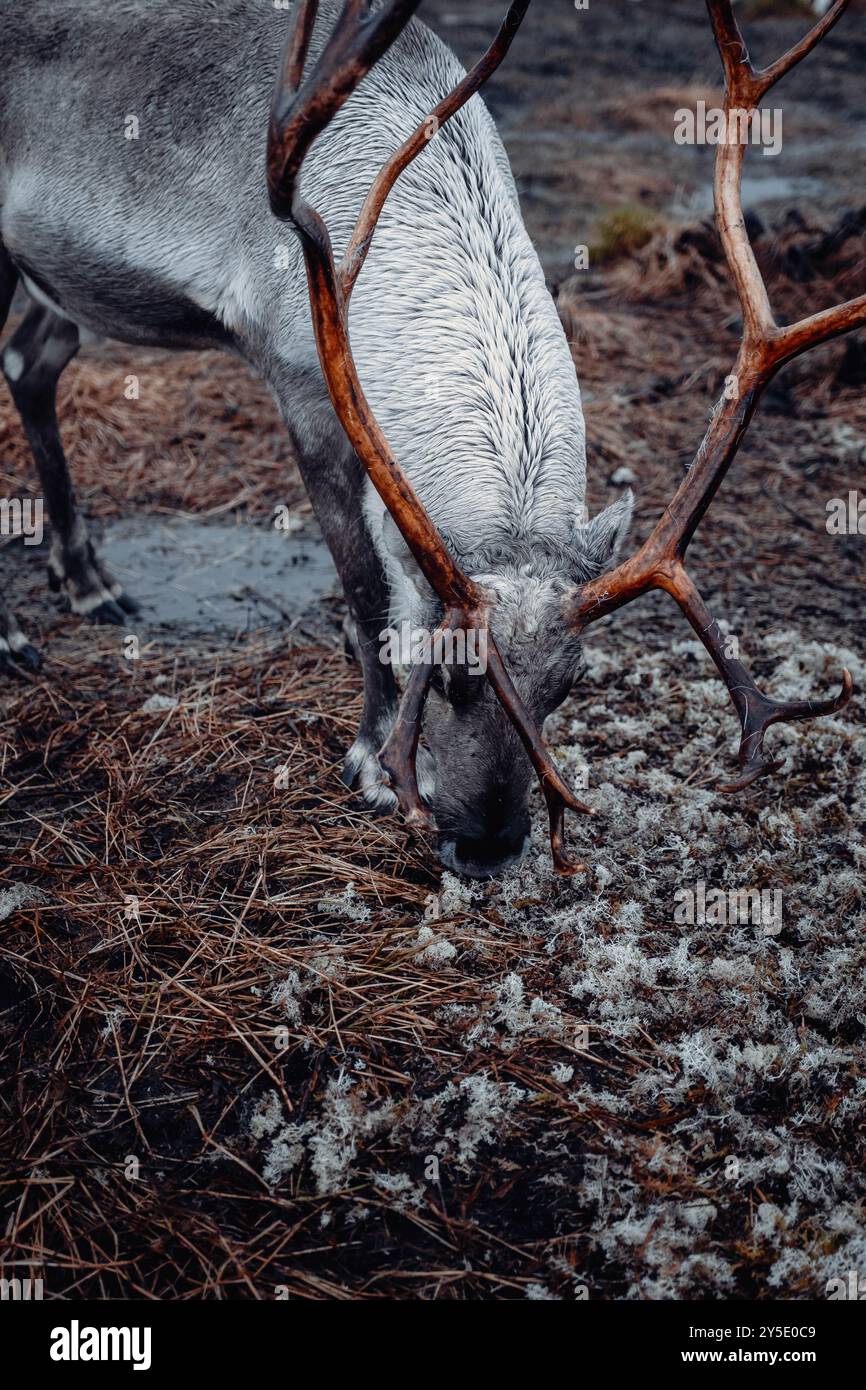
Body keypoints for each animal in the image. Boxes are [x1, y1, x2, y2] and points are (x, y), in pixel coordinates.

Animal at [1, 0, 862, 880]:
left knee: (32, 362)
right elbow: (365, 589)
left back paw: (88, 579)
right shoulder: (304, 386)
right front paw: (374, 761)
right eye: (446, 679)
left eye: (567, 685)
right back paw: (16, 632)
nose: (488, 847)